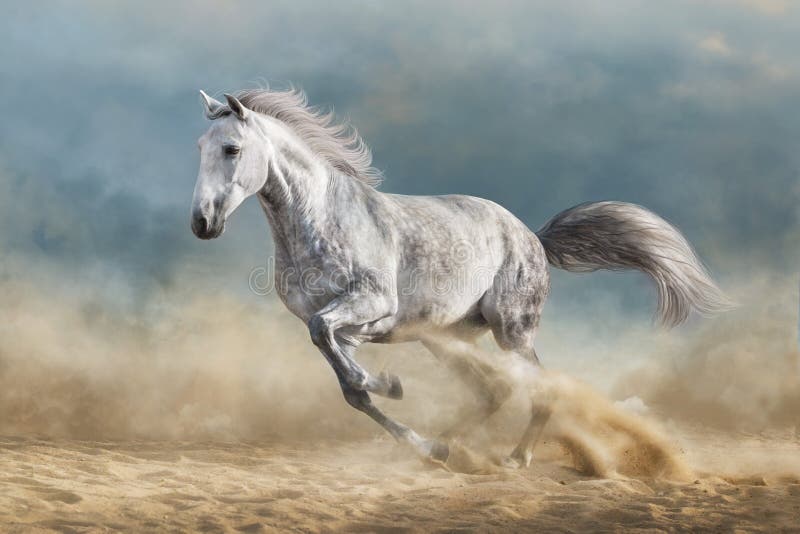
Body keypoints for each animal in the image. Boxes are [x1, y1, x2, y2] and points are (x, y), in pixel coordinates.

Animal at [190, 87, 730, 467]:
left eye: (232, 149)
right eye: (200, 147)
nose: (202, 223)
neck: (321, 219)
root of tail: (532, 237)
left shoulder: (371, 306)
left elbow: (340, 352)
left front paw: (389, 384)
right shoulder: (341, 324)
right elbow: (347, 381)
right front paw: (402, 415)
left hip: (511, 331)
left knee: (540, 386)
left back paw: (516, 457)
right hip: (446, 338)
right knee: (493, 391)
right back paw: (446, 448)